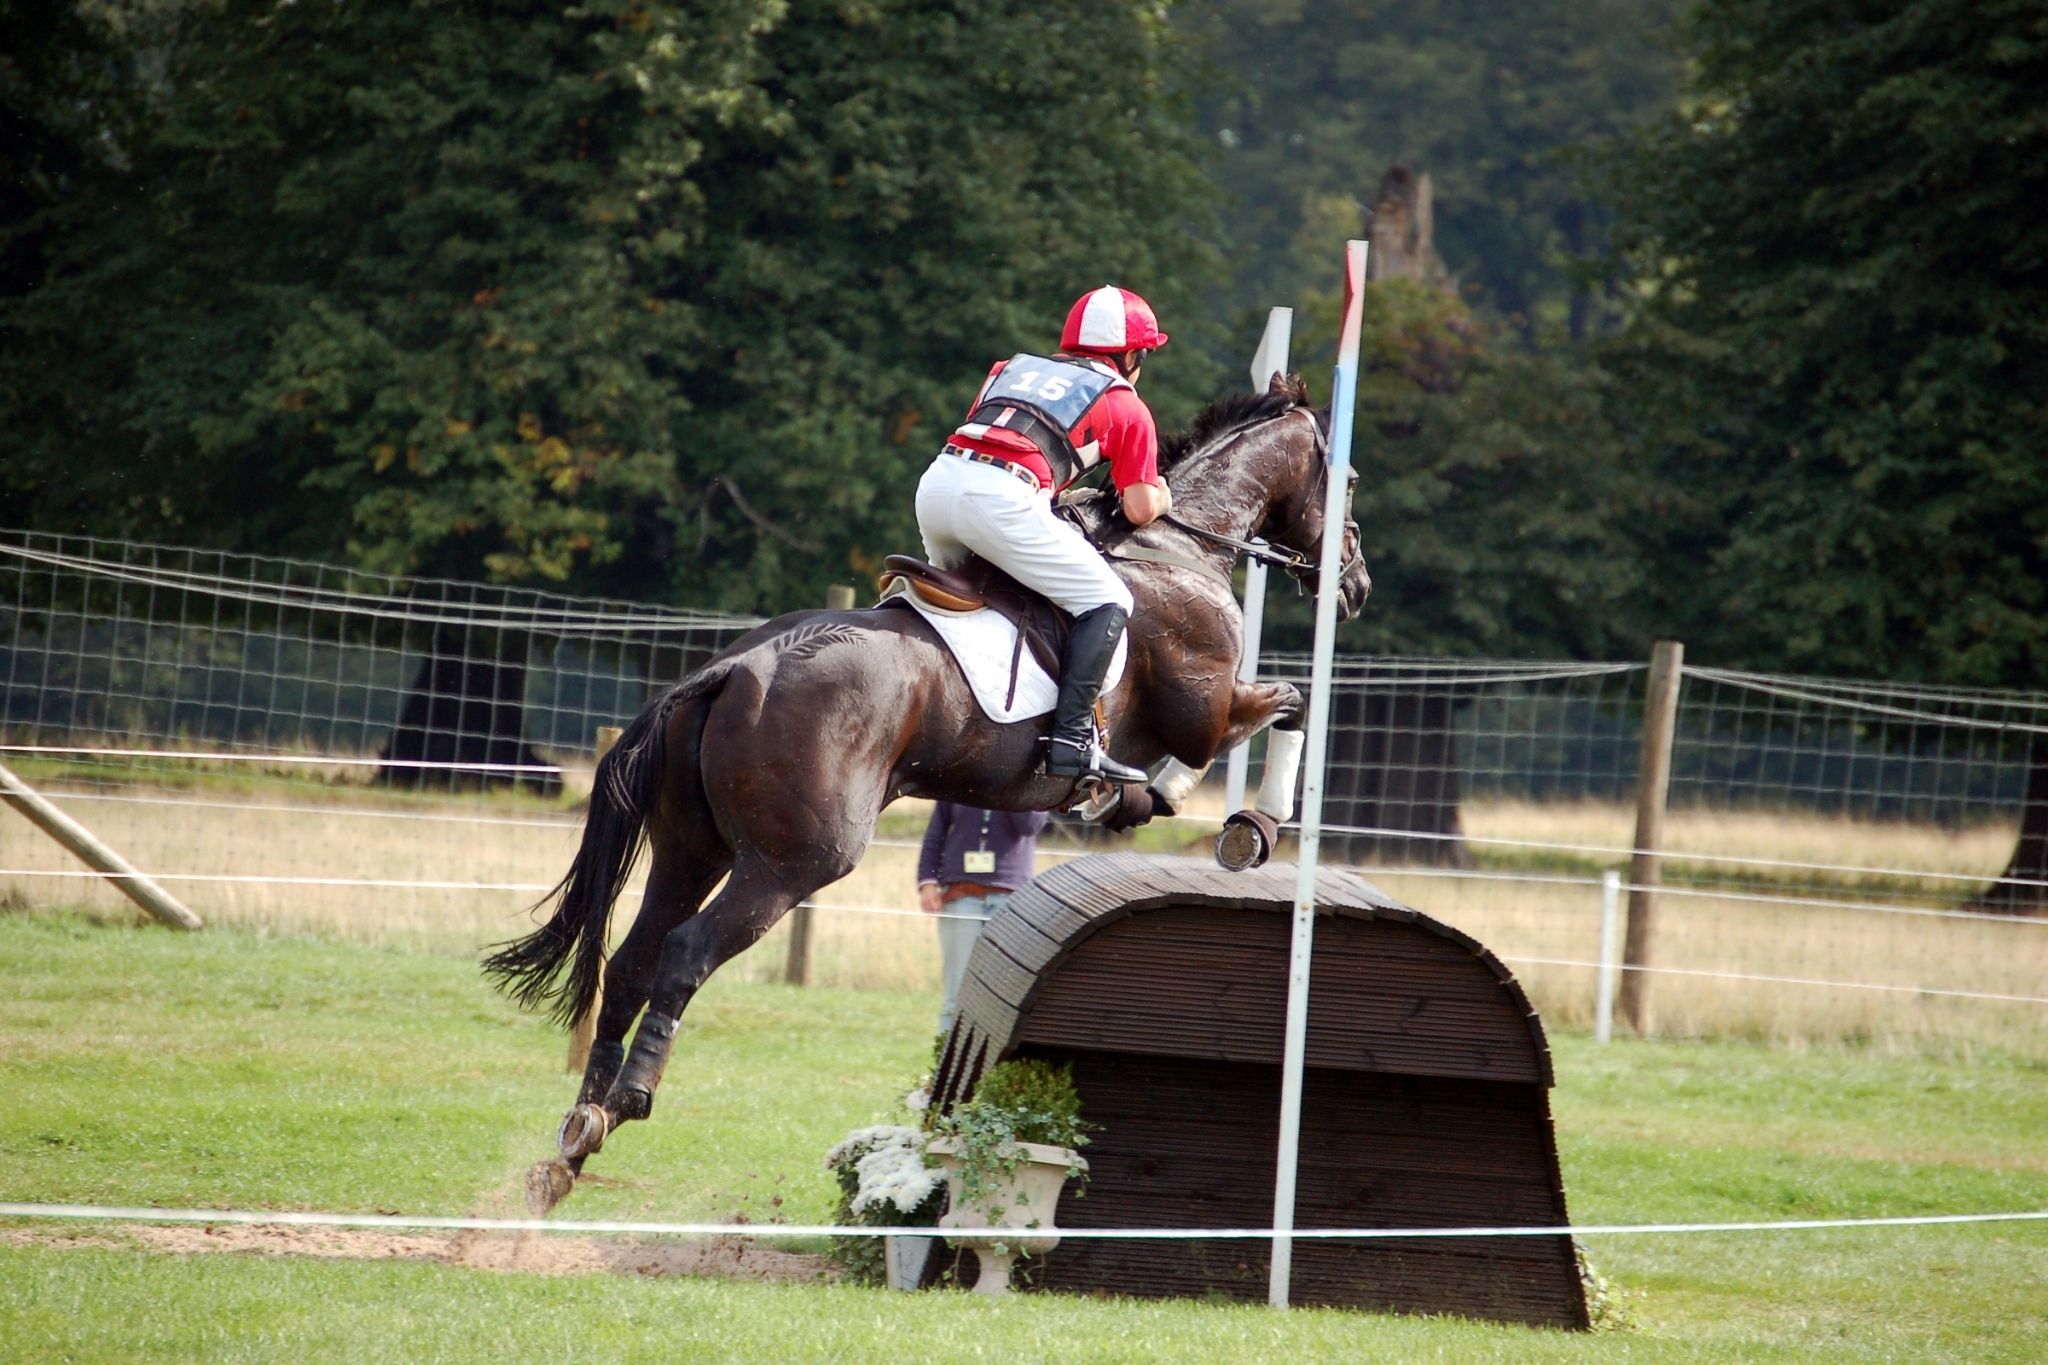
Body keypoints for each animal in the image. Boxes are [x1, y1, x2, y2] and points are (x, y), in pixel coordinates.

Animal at [485, 375, 1372, 1206]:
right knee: (684, 954)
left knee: (632, 960)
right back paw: (628, 1099)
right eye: (1350, 479)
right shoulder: (1205, 710)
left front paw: (1138, 799)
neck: (1175, 543)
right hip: (790, 862)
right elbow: (1289, 702)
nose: (1356, 583)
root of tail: (733, 666)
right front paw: (1245, 823)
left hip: (691, 847)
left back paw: (574, 1139)